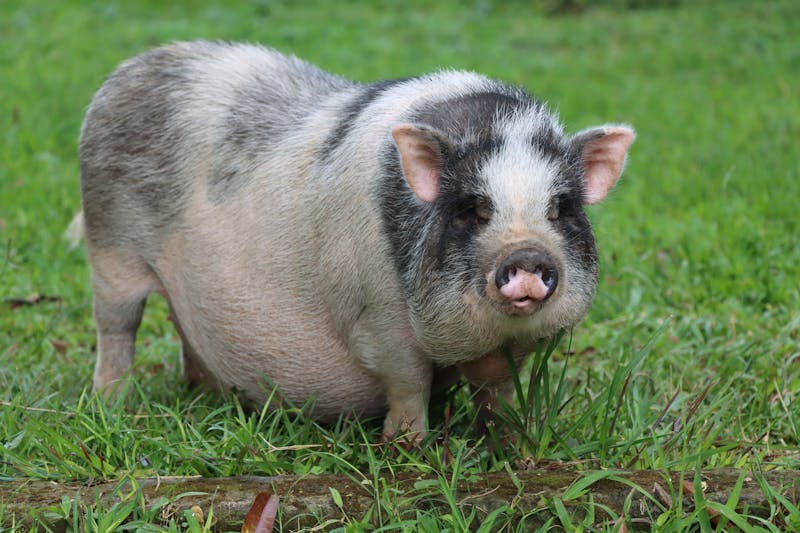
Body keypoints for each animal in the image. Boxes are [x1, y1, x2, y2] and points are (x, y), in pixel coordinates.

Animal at [79, 41, 634, 440]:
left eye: (561, 208)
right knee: (117, 325)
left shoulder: (511, 349)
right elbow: (409, 382)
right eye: (471, 210)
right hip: (110, 246)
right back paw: (112, 405)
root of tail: (132, 66)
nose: (526, 254)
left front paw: (507, 446)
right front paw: (408, 449)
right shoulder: (377, 313)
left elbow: (498, 392)